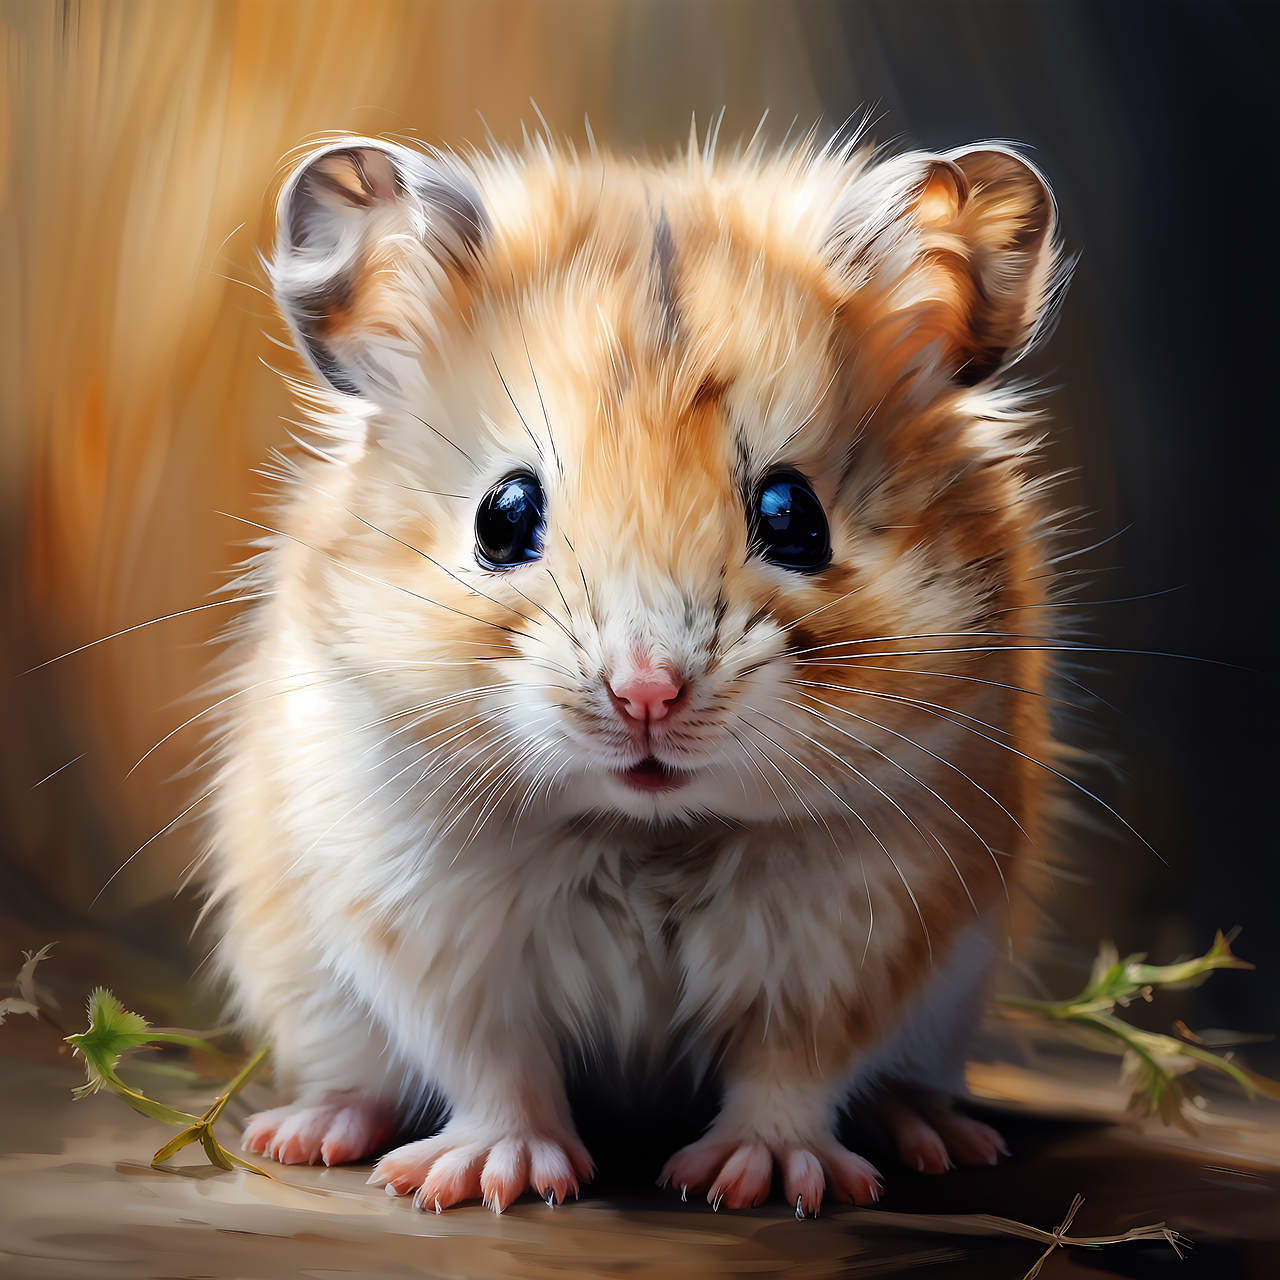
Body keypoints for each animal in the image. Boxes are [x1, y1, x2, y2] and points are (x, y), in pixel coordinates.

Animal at [207, 129, 1062, 1215]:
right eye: (502, 515)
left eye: (793, 514)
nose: (646, 692)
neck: (650, 829)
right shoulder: (429, 932)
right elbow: (495, 1065)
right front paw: (487, 1179)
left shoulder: (861, 938)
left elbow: (790, 1068)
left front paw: (760, 1182)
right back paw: (306, 1132)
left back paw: (939, 1137)